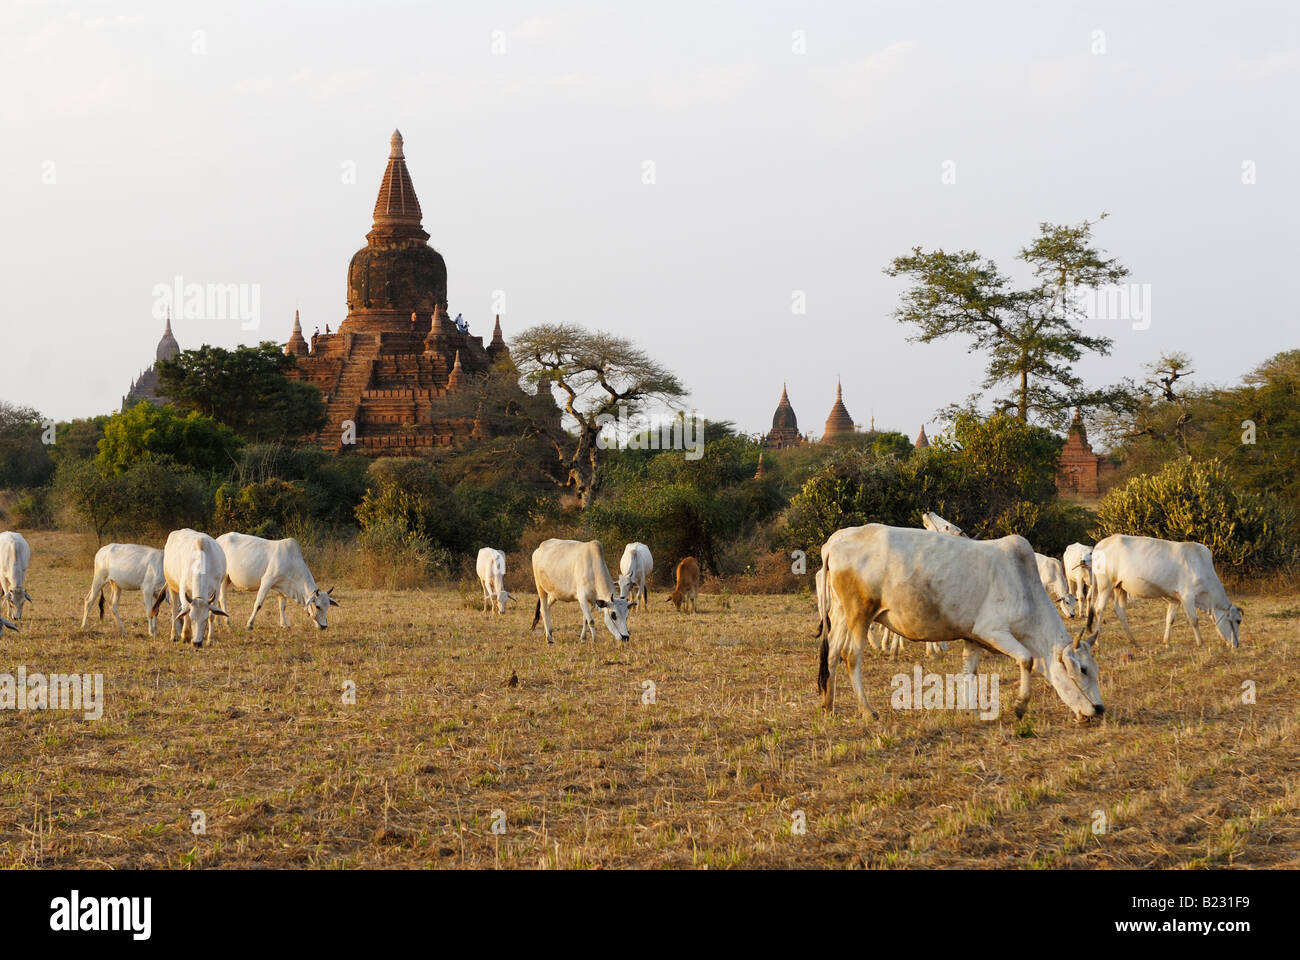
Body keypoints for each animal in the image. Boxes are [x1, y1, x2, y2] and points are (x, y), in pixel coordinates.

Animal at [818, 524, 1104, 722]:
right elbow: (1026, 659)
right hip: (860, 614)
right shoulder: (993, 631)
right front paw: (1020, 706)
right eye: (1082, 670)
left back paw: (828, 705)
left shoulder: (972, 637)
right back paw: (867, 710)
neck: (1025, 585)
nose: (1099, 709)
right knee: (851, 656)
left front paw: (972, 708)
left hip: (841, 615)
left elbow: (970, 672)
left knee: (831, 655)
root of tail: (835, 542)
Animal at [1085, 534, 1242, 648]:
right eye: (1238, 621)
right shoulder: (1188, 596)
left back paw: (1133, 640)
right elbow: (1194, 620)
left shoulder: (1175, 599)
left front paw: (1166, 641)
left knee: (1119, 610)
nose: (1236, 645)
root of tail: (1099, 545)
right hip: (1105, 585)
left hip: (1120, 587)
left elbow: (1170, 619)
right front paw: (1200, 642)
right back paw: (1097, 641)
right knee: (1098, 609)